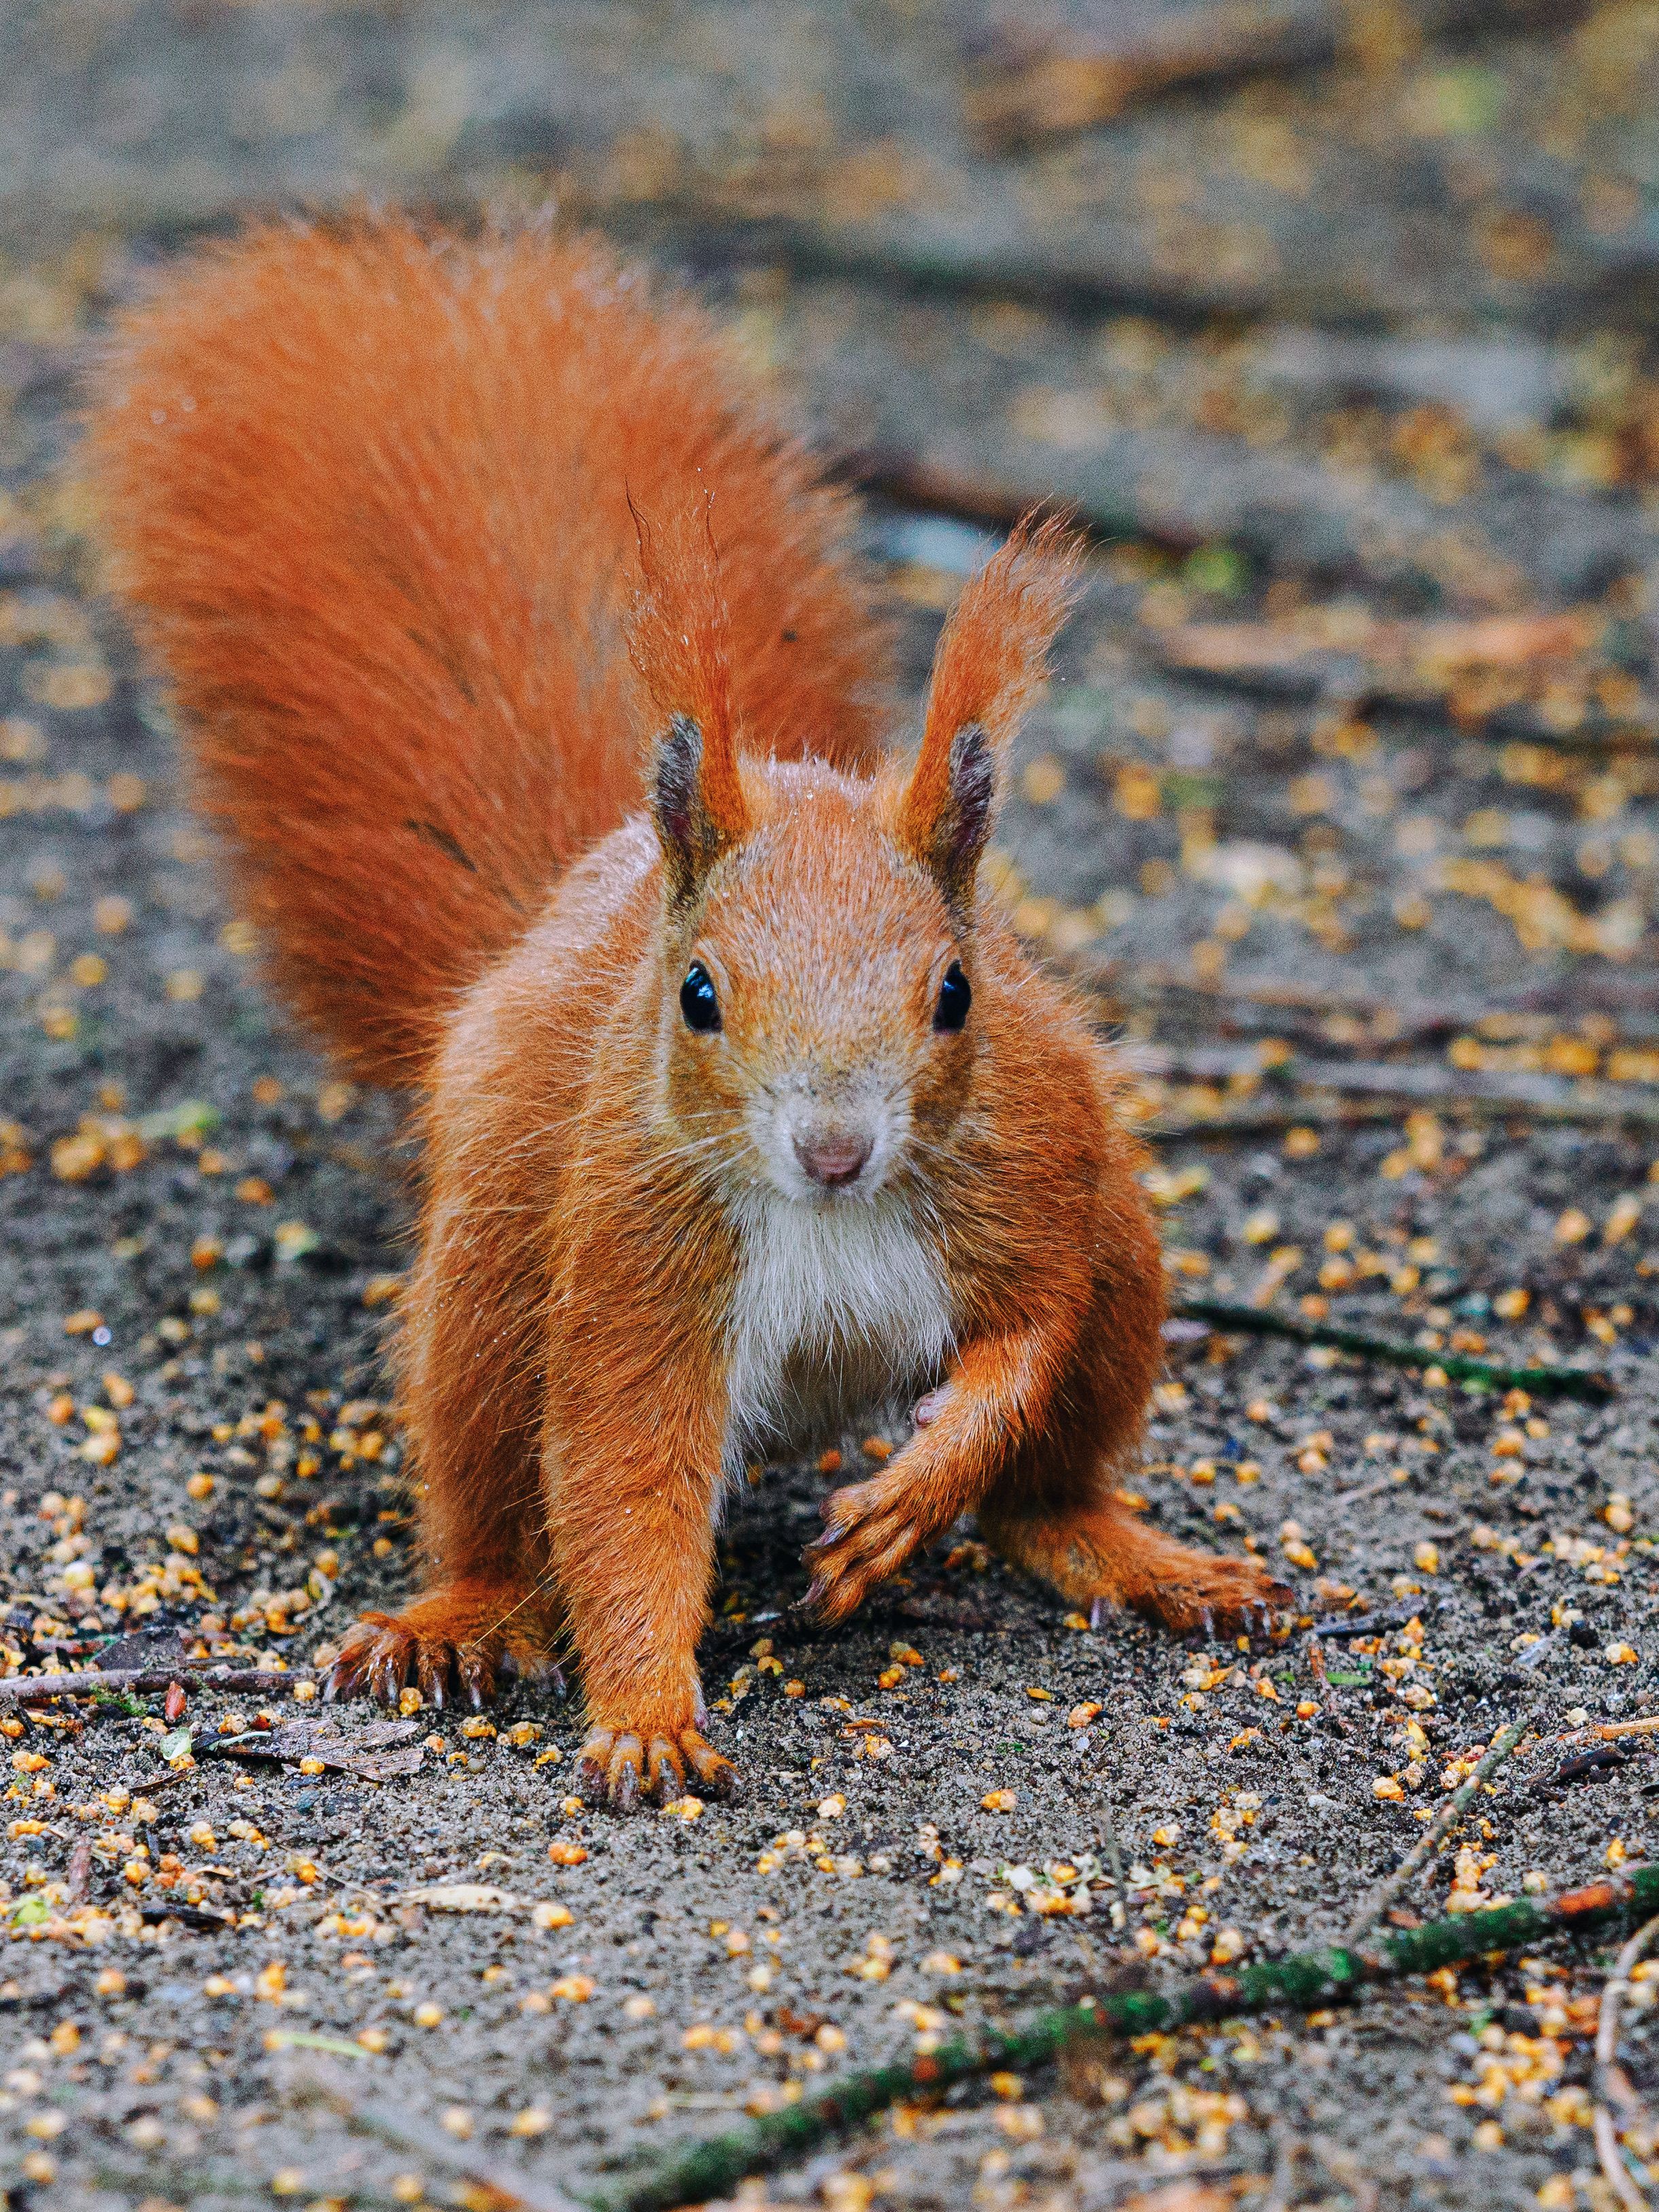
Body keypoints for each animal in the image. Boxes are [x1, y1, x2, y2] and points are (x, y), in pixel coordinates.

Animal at [87, 216, 1280, 1808]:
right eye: (700, 995)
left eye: (956, 992)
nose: (835, 1147)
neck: (832, 1214)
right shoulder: (642, 1248)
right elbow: (621, 1468)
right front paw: (648, 1709)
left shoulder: (1032, 1164)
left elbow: (1027, 1335)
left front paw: (913, 1490)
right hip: (489, 1282)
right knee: (496, 1481)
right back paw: (461, 1615)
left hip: (1130, 1246)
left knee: (1054, 1468)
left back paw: (1128, 1550)